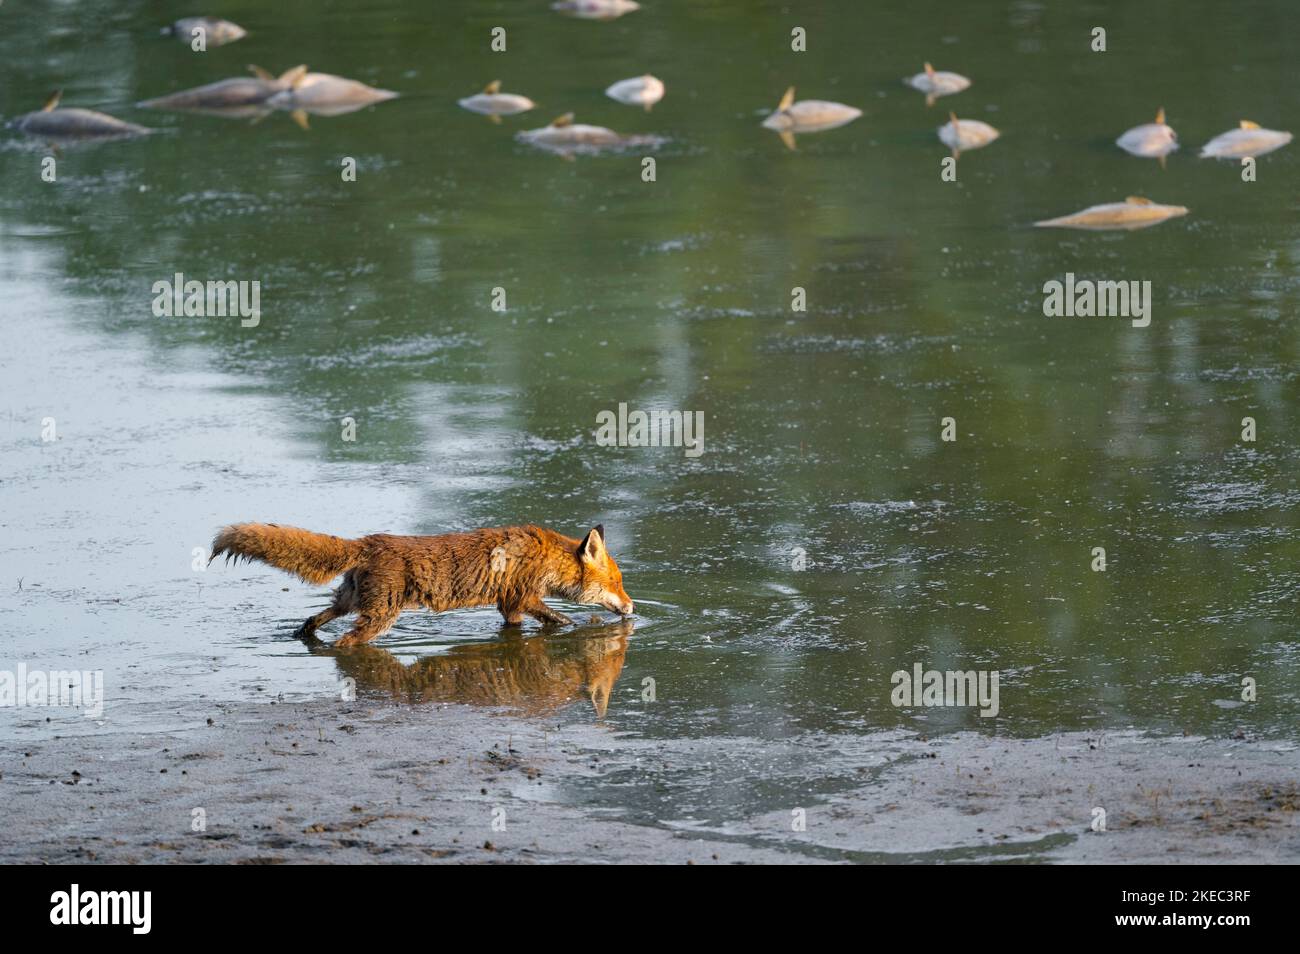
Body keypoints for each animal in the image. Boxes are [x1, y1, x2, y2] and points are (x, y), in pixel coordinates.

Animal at [209, 523, 634, 646]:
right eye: (617, 581)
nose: (632, 607)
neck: (546, 555)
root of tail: (368, 541)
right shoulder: (520, 597)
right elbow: (562, 620)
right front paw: (579, 626)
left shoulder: (509, 608)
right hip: (379, 616)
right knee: (346, 641)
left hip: (349, 601)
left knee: (314, 620)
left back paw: (304, 635)